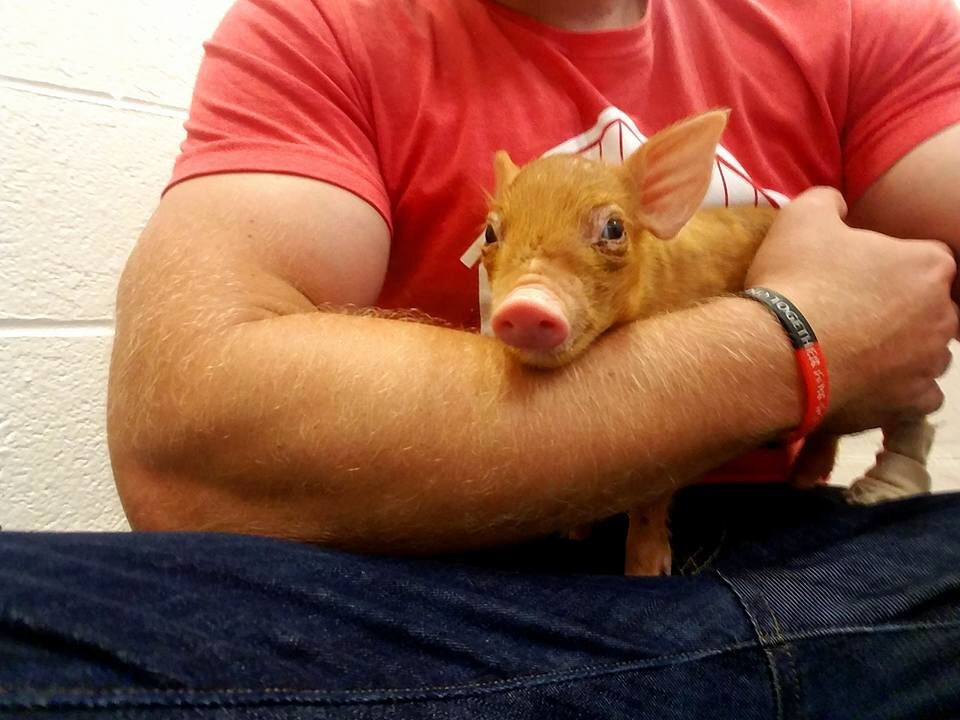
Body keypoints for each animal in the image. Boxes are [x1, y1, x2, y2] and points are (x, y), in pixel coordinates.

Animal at [481, 110, 934, 576]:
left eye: (613, 227)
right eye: (491, 234)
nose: (526, 304)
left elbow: (650, 504)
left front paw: (646, 572)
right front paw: (573, 536)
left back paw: (838, 488)